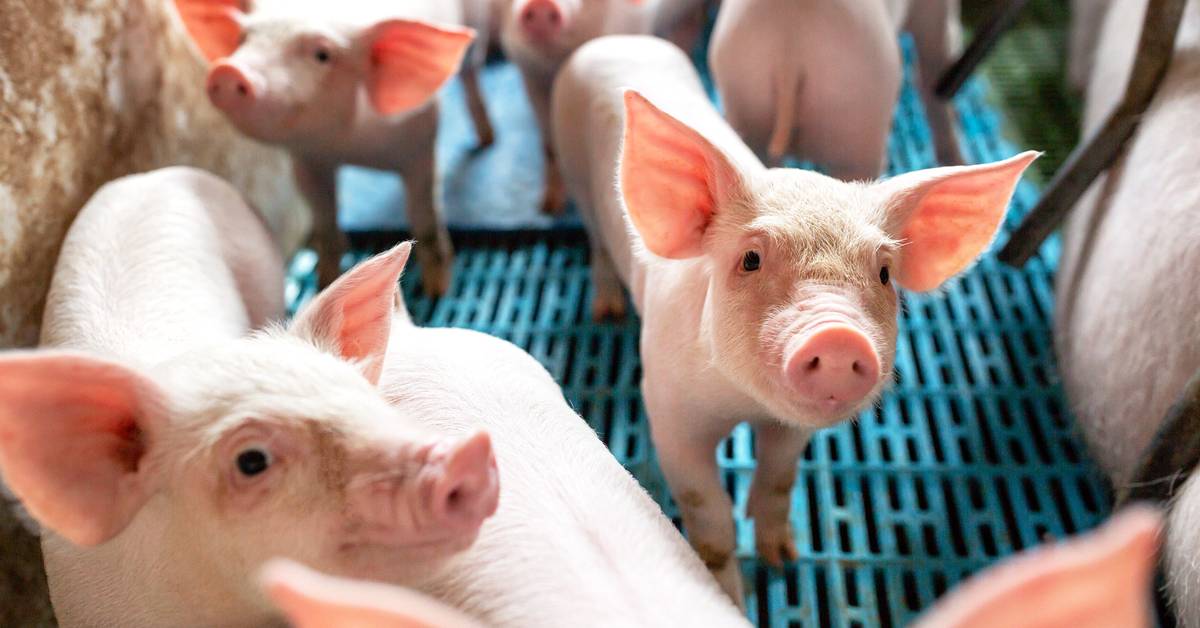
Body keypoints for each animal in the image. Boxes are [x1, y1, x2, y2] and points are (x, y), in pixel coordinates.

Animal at [175, 0, 479, 294]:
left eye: (322, 55)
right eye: (243, 39)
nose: (227, 70)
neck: (349, 148)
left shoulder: (422, 146)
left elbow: (425, 217)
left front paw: (437, 290)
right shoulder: (308, 161)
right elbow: (325, 223)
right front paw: (324, 283)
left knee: (471, 75)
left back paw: (484, 140)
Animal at [552, 35, 1036, 601]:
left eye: (884, 272)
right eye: (751, 259)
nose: (839, 336)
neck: (743, 404)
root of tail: (616, 40)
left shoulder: (792, 429)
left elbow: (779, 478)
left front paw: (783, 558)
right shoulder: (669, 411)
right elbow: (709, 519)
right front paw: (730, 596)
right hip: (575, 175)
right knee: (596, 242)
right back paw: (606, 310)